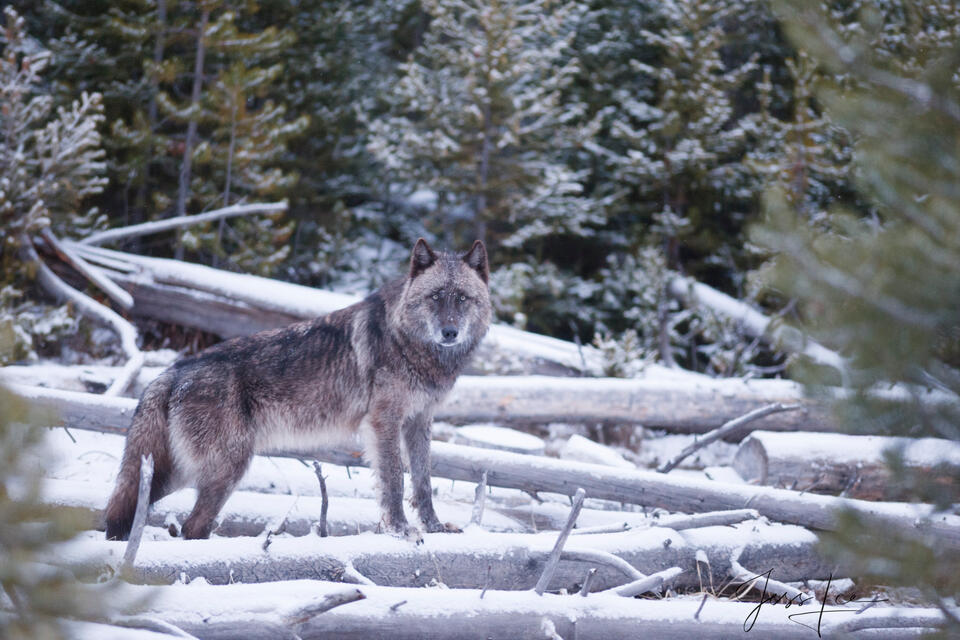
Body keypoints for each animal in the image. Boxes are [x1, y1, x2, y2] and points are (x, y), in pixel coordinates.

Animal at [105, 238, 491, 541]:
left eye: (462, 299)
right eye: (436, 297)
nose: (450, 332)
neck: (412, 346)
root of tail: (171, 372)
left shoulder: (419, 421)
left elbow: (423, 481)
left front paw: (434, 527)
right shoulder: (384, 421)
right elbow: (394, 481)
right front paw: (400, 530)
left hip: (177, 474)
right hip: (224, 469)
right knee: (191, 527)